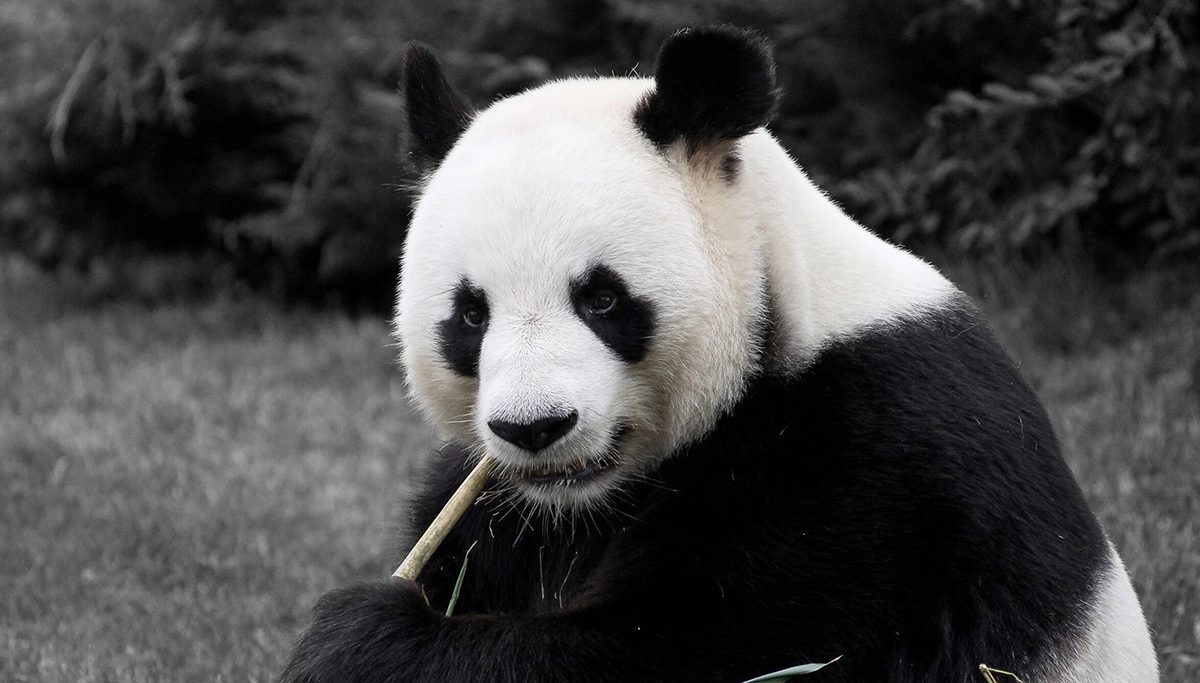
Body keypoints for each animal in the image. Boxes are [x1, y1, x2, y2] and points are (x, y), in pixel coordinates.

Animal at [282, 26, 1158, 682]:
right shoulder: (498, 503)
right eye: (470, 315)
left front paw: (360, 639)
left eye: (602, 299)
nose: (536, 427)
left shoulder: (871, 465)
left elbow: (706, 649)